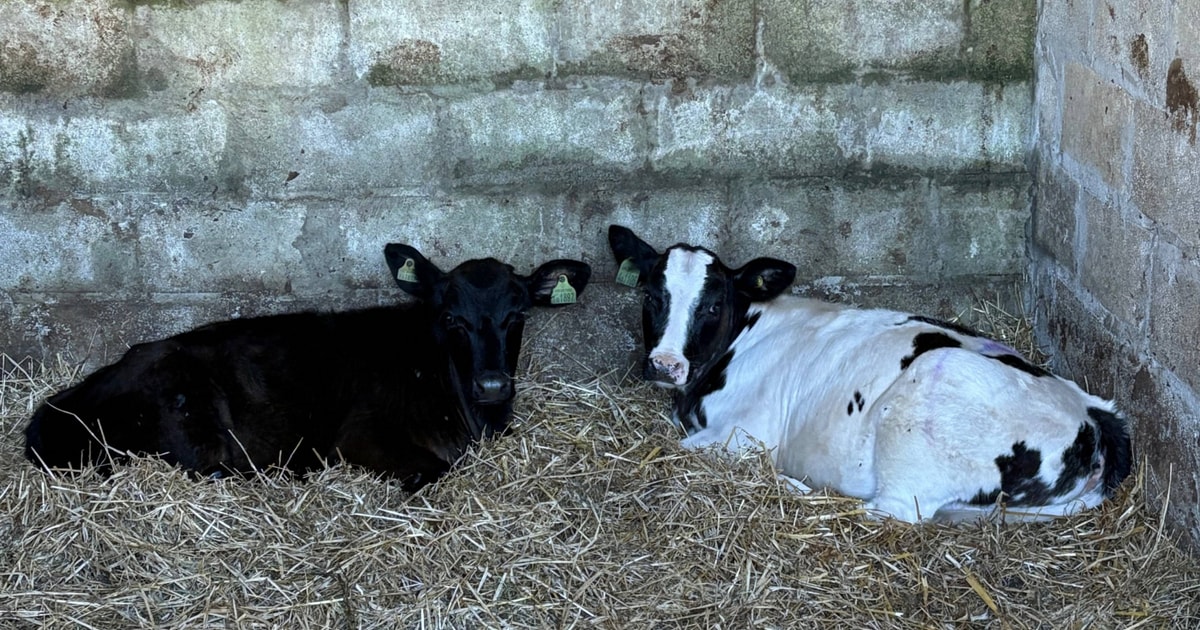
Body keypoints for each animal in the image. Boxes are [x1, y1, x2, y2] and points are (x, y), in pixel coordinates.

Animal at [25, 243, 591, 491]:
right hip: (194, 417)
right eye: (451, 317)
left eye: (518, 313)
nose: (493, 383)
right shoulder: (360, 436)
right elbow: (434, 468)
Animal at [608, 224, 1132, 523]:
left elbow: (680, 449)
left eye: (714, 304)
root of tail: (1092, 414)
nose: (665, 364)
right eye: (651, 296)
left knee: (889, 510)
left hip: (922, 423)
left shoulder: (745, 433)